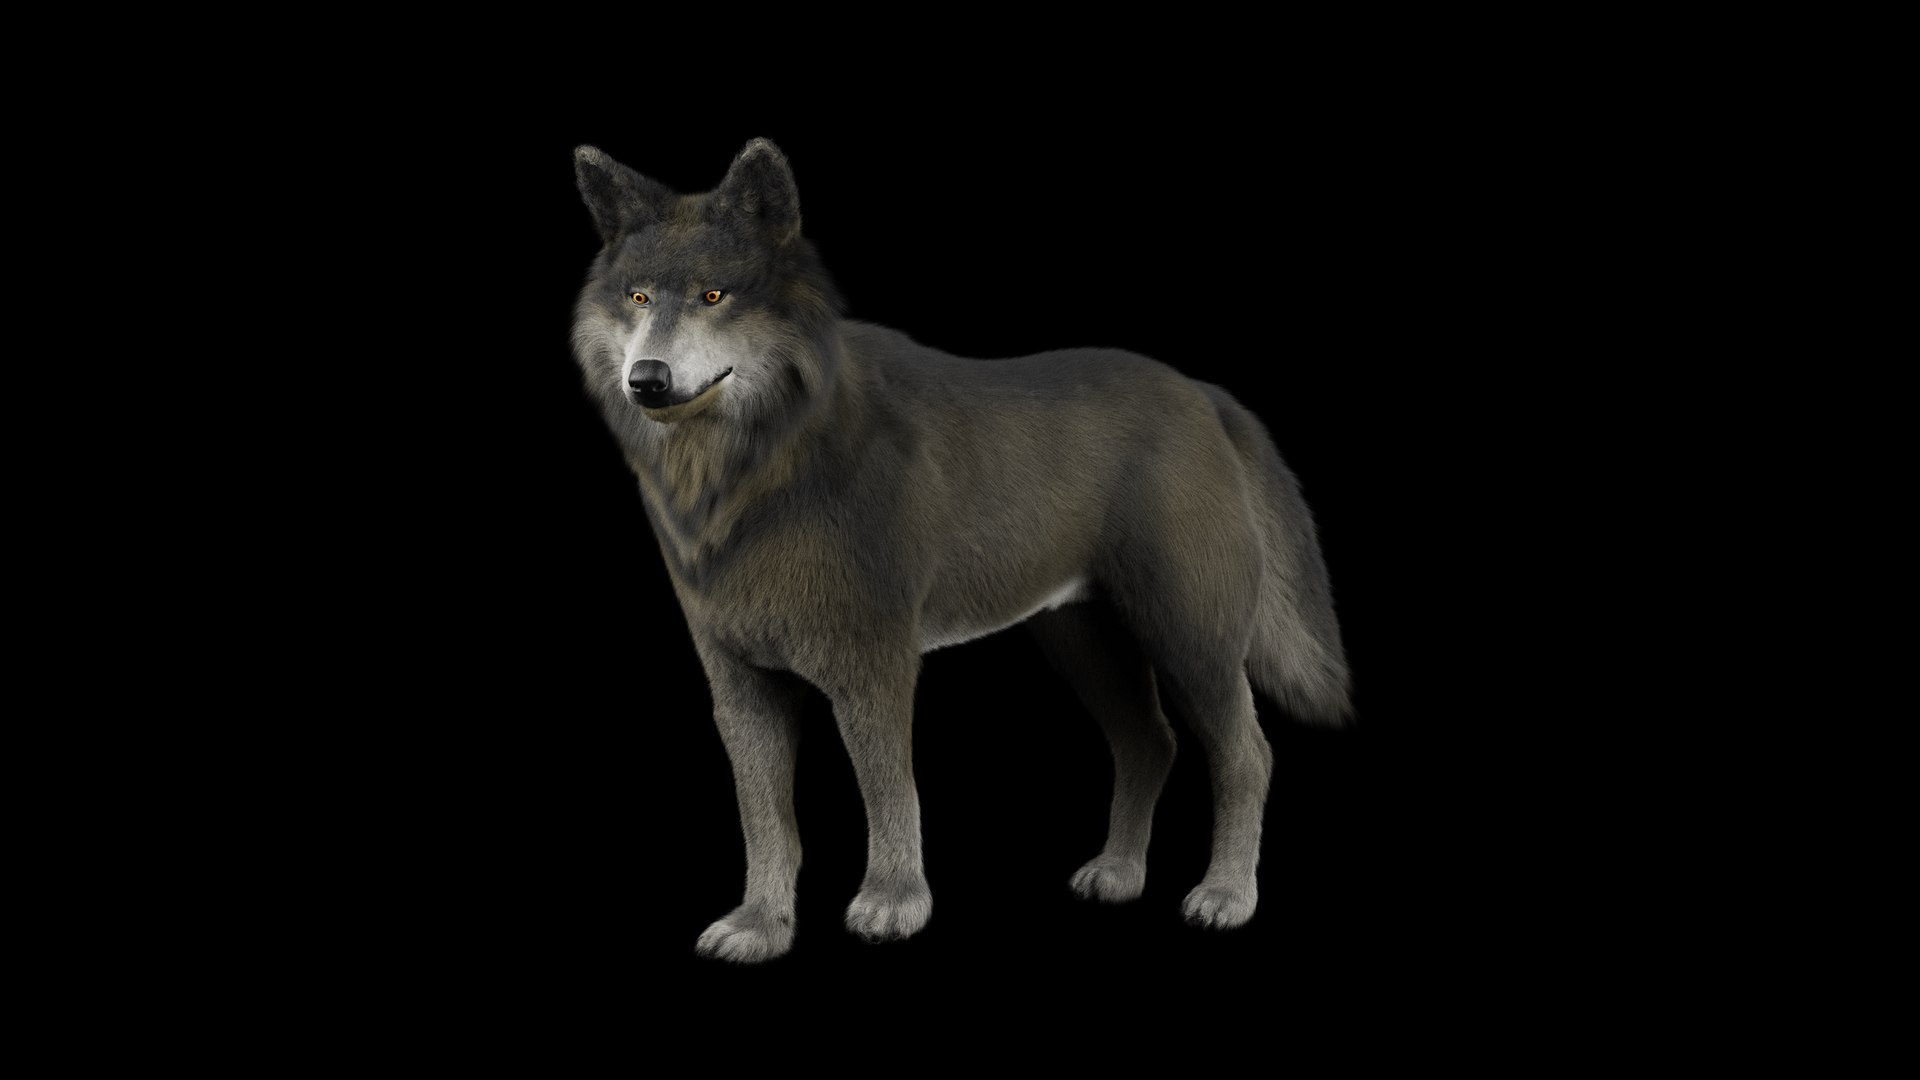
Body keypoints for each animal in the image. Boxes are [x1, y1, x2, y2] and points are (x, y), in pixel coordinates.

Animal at [569, 139, 1352, 962]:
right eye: (638, 298)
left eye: (714, 296)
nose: (646, 380)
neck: (750, 473)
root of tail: (1205, 395)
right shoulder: (740, 684)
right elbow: (766, 820)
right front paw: (760, 925)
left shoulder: (873, 666)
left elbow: (888, 788)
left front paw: (892, 903)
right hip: (1083, 644)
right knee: (1151, 744)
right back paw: (1117, 874)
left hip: (1188, 638)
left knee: (1246, 755)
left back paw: (1226, 896)